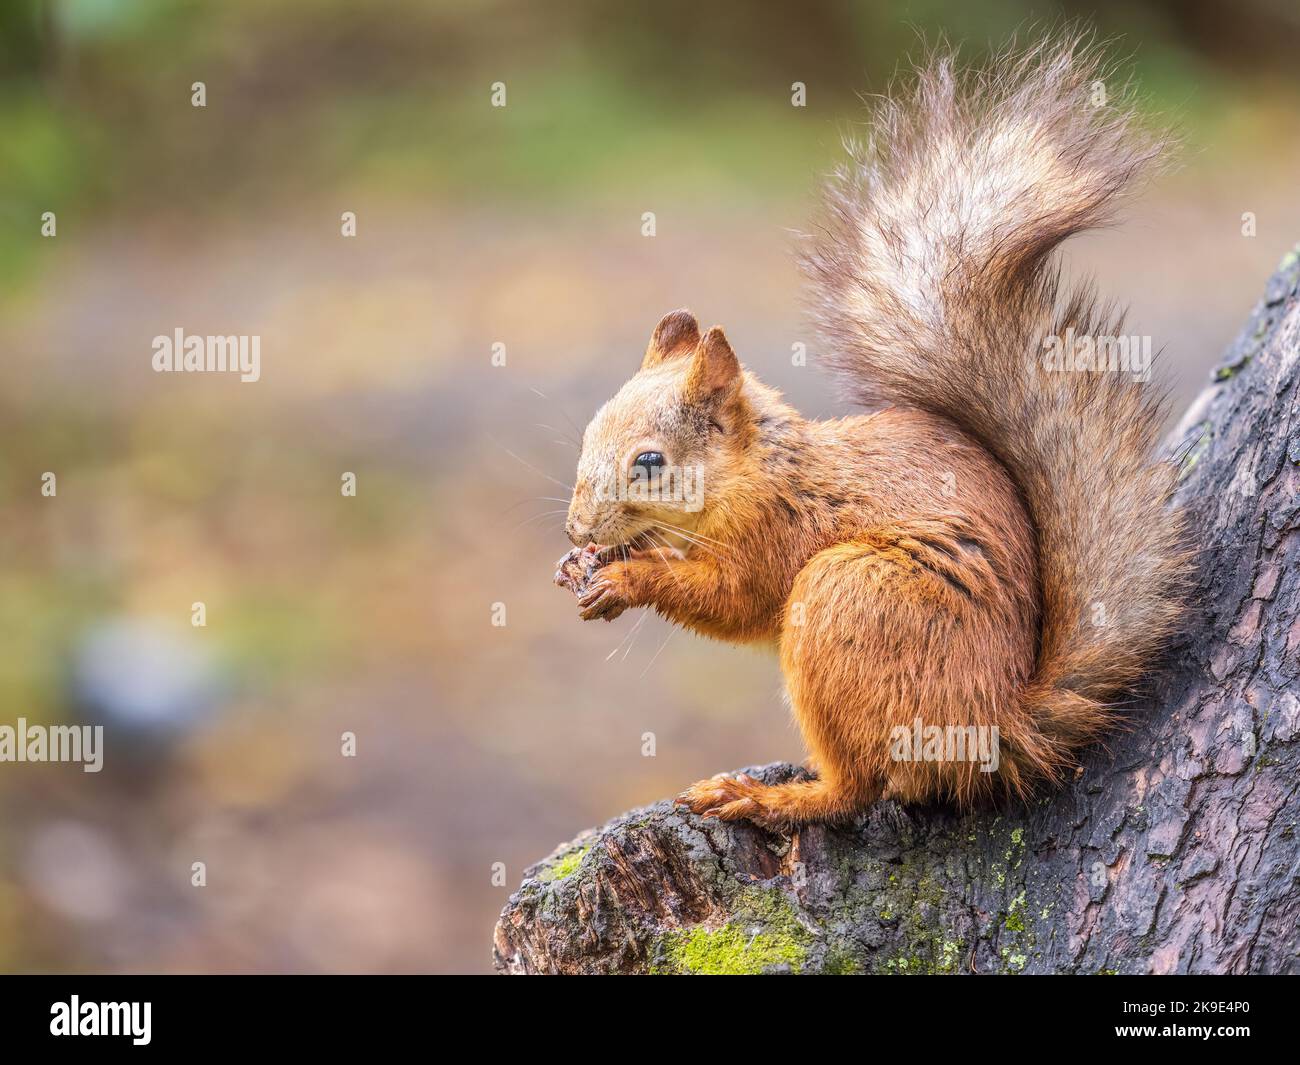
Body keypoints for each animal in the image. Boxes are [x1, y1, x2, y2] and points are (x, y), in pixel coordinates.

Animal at [556, 36, 1187, 829]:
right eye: (589, 431)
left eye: (649, 461)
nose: (577, 527)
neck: (756, 472)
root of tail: (994, 725)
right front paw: (581, 566)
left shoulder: (776, 532)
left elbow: (733, 601)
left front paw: (626, 576)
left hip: (847, 602)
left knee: (857, 786)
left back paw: (770, 796)